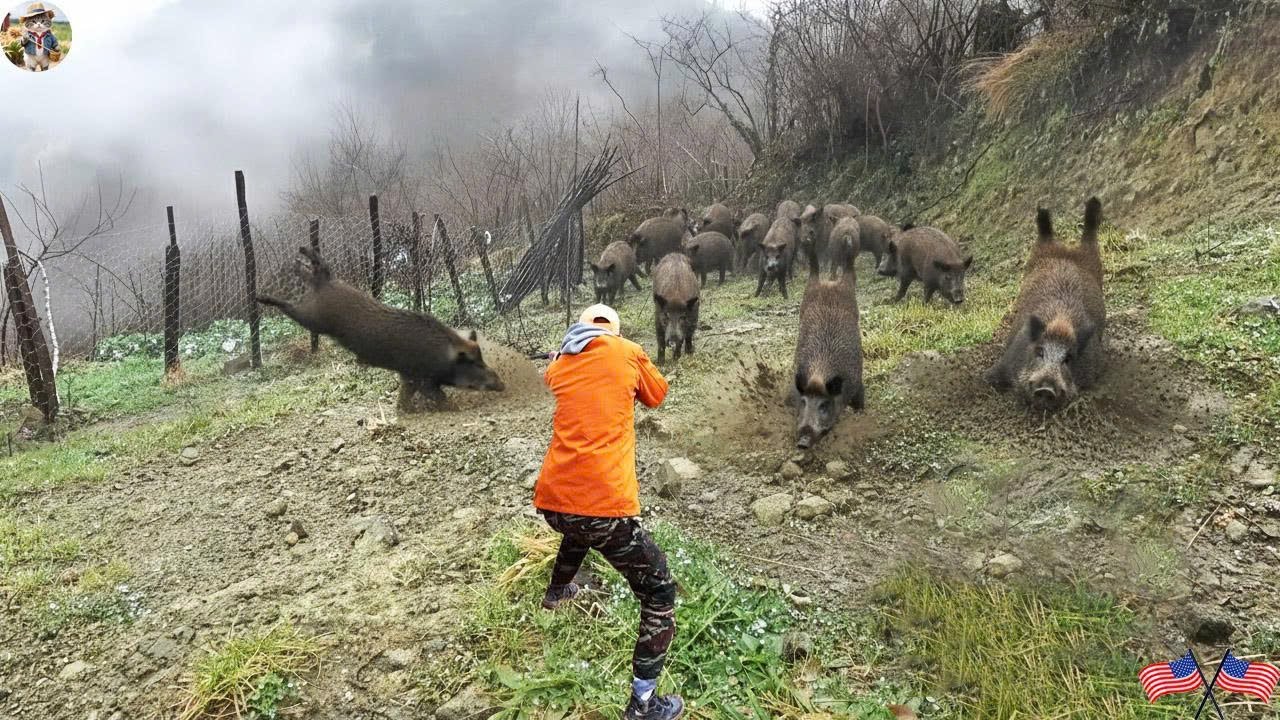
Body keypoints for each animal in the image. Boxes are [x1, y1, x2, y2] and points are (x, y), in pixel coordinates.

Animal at [257, 247, 505, 410]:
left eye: (482, 357)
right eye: (474, 363)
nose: (502, 385)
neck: (442, 355)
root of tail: (326, 284)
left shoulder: (407, 376)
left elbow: (406, 396)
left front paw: (403, 411)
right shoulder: (420, 377)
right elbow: (437, 396)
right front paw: (449, 410)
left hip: (316, 301)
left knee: (314, 267)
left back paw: (297, 258)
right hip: (312, 318)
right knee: (292, 303)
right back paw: (262, 297)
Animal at [792, 224, 864, 449]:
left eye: (824, 405)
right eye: (804, 403)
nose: (803, 441)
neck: (820, 372)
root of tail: (829, 283)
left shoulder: (857, 381)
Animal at [985, 198, 1106, 411]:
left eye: (1068, 358)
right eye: (1039, 351)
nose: (1046, 389)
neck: (1060, 323)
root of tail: (1067, 248)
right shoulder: (1005, 362)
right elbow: (988, 379)